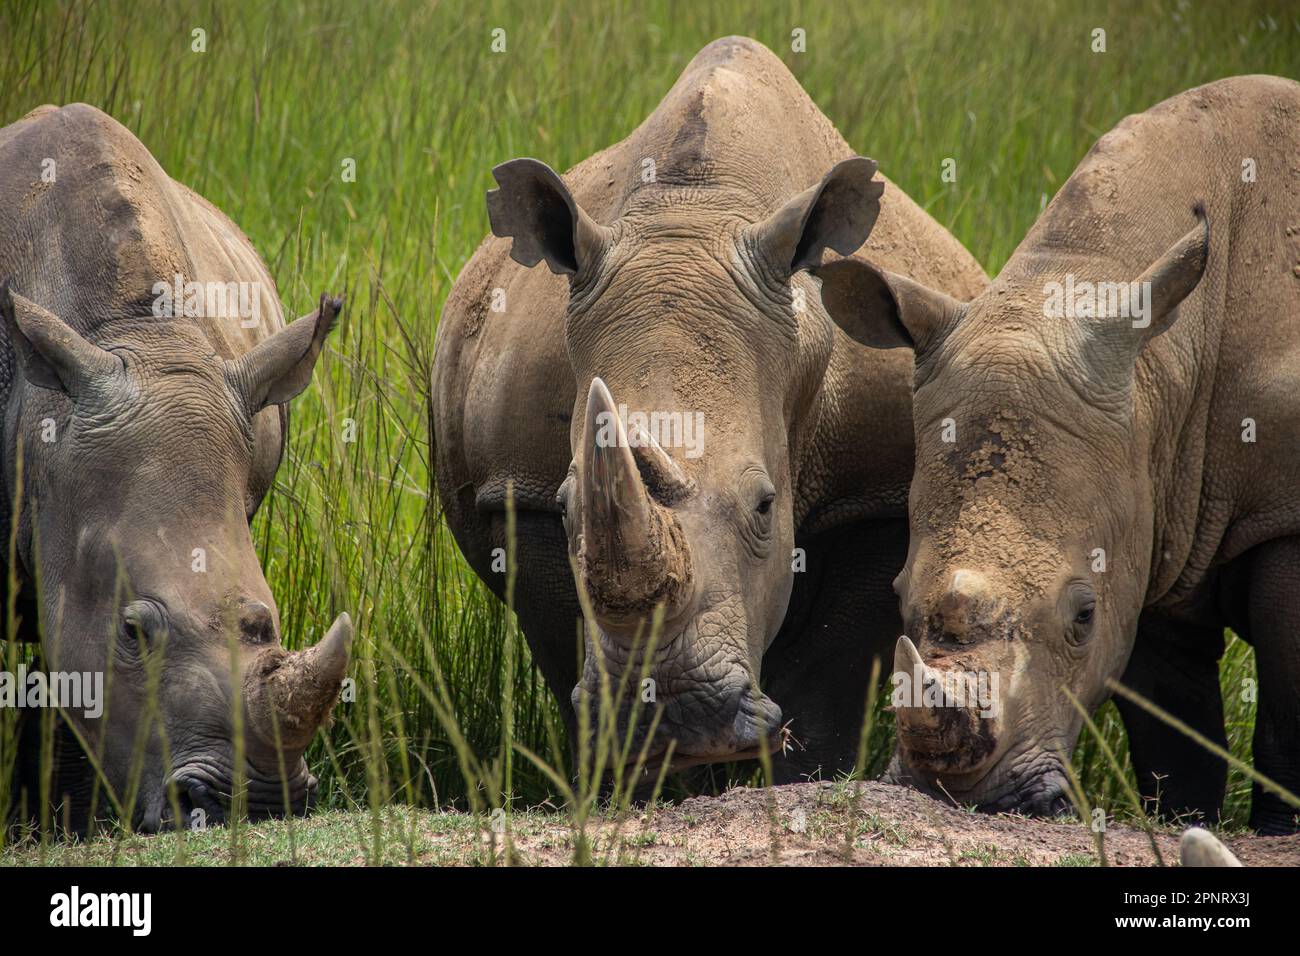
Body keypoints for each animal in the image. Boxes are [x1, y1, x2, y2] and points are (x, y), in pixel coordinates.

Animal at [434, 36, 986, 779]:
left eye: (765, 506)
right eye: (572, 504)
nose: (673, 718)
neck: (697, 213)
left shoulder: (876, 493)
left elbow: (828, 676)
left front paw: (797, 777)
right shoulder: (520, 490)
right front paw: (631, 772)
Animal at [817, 76, 1300, 832]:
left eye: (1082, 616)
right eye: (895, 592)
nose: (968, 800)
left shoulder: (1278, 520)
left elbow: (1285, 719)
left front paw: (1279, 829)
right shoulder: (1153, 510)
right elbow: (1175, 734)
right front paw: (1178, 820)